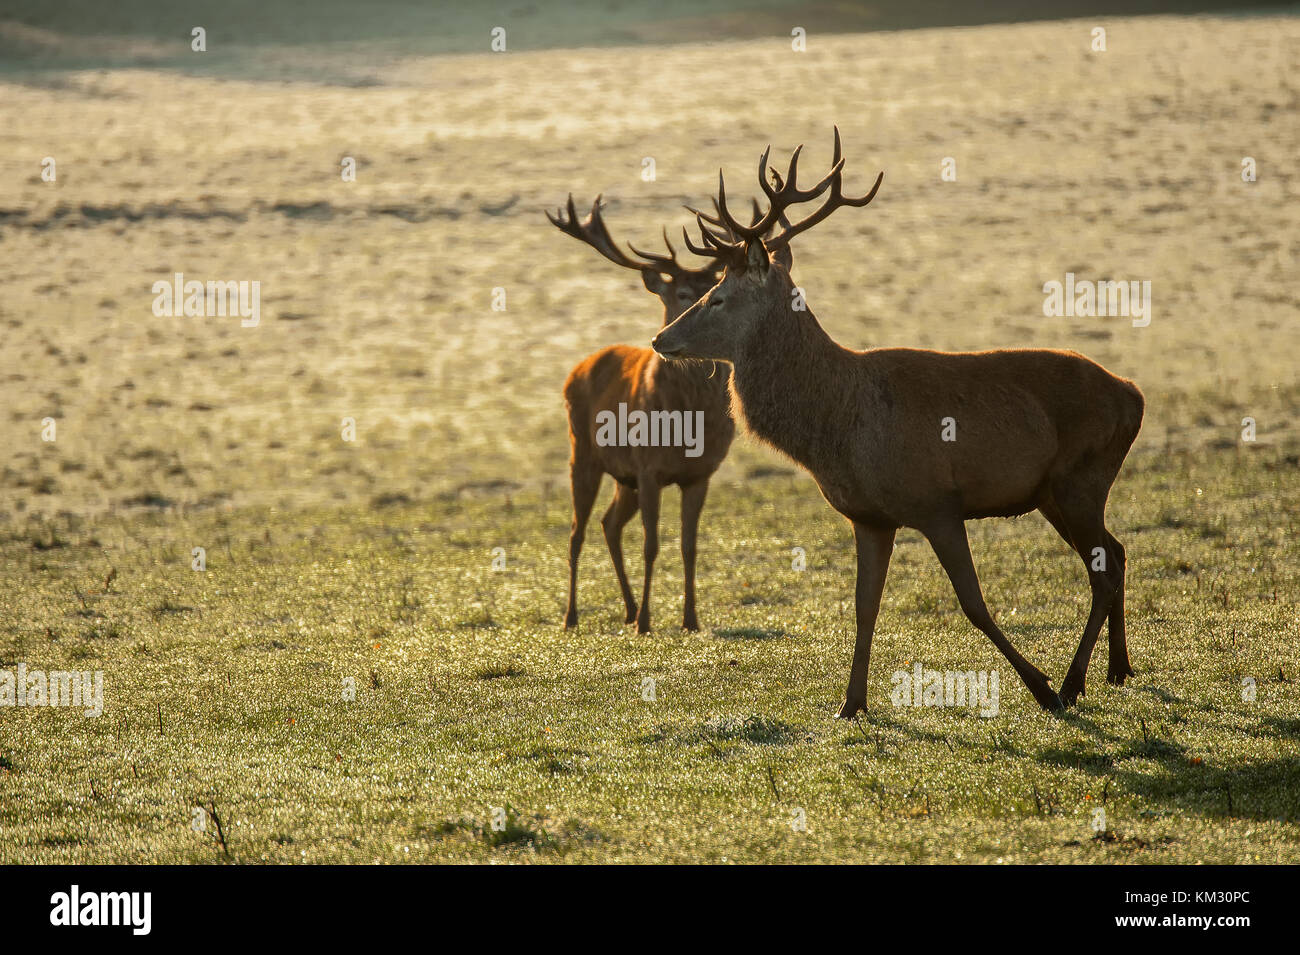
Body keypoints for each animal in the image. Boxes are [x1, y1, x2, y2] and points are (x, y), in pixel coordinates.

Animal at [549, 195, 794, 633]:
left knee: (609, 524)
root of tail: (579, 367)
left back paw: (628, 609)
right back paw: (573, 616)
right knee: (578, 532)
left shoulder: (698, 475)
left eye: (710, 290)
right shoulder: (649, 469)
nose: (668, 337)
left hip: (623, 477)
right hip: (584, 454)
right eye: (679, 292)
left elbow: (689, 545)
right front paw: (647, 622)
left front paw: (690, 619)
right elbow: (651, 545)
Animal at [651, 129, 1144, 716]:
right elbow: (865, 608)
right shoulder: (869, 517)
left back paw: (1073, 682)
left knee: (1103, 571)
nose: (659, 339)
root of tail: (1134, 395)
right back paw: (1118, 669)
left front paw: (1040, 686)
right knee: (1116, 555)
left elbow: (973, 603)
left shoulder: (936, 502)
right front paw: (851, 704)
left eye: (717, 297)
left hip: (1080, 477)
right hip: (1053, 492)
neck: (837, 427)